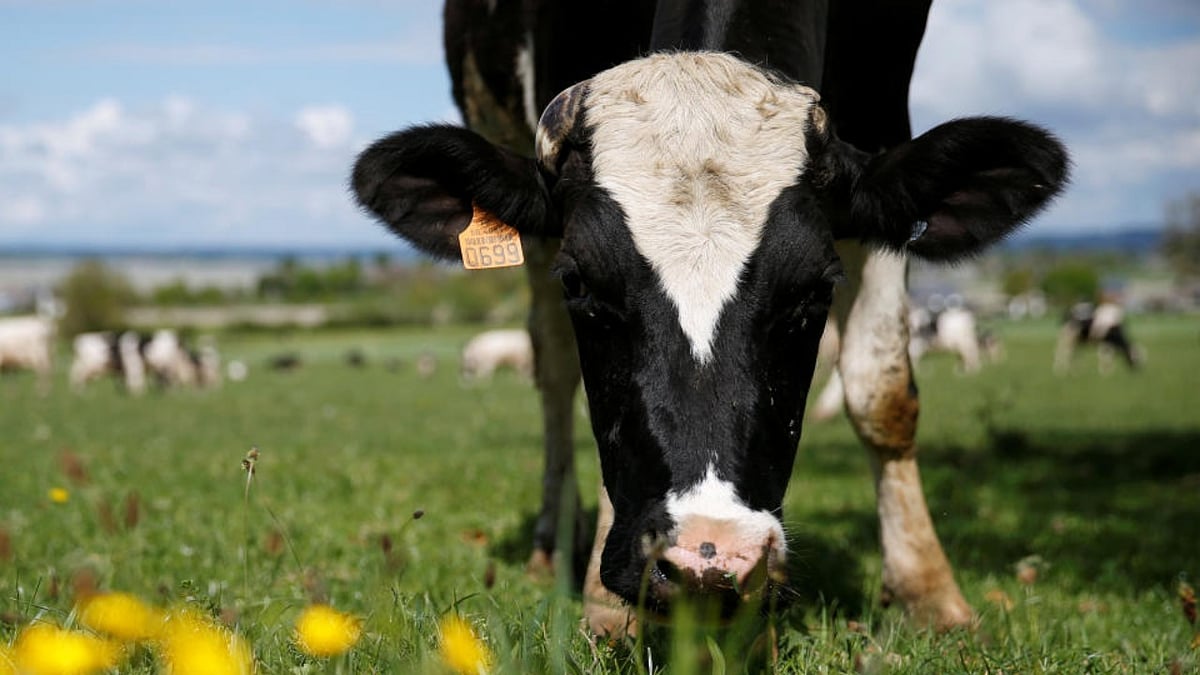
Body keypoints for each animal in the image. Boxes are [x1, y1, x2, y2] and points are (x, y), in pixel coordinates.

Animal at [352, 0, 1069, 635]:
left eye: (816, 289)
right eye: (580, 281)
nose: (709, 557)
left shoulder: (883, 111)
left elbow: (882, 391)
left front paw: (929, 591)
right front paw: (606, 608)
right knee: (551, 367)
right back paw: (553, 541)